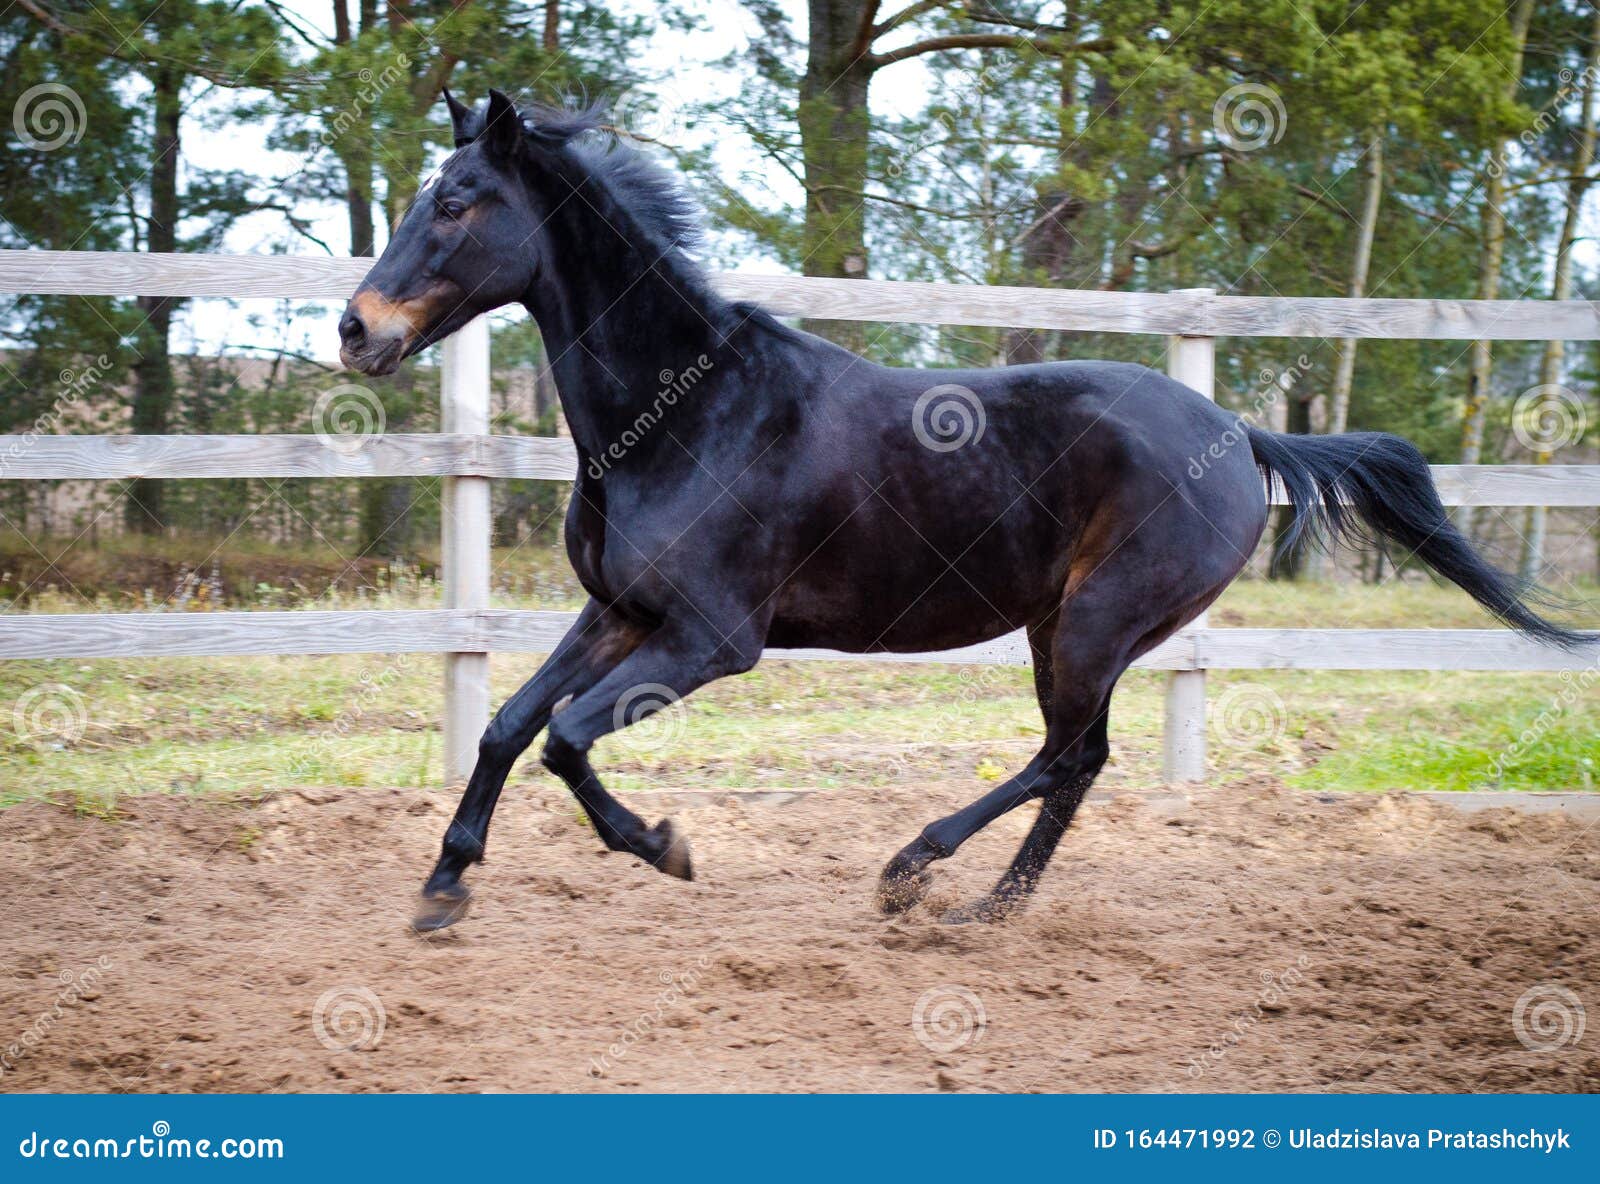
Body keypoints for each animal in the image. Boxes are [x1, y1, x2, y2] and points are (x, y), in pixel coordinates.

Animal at [337, 90, 1587, 932]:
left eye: (457, 202)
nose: (355, 329)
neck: (684, 409)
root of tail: (1242, 435)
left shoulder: (710, 639)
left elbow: (566, 736)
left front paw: (663, 847)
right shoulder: (620, 614)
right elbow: (509, 725)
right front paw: (442, 886)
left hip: (1097, 623)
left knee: (1066, 753)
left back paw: (913, 870)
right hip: (1058, 624)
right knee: (1076, 761)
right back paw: (990, 903)